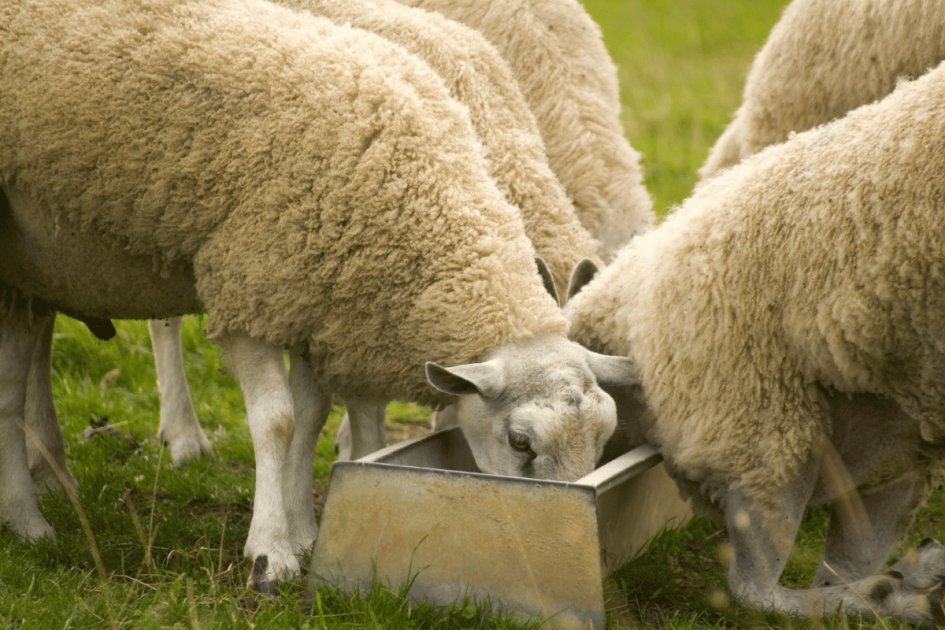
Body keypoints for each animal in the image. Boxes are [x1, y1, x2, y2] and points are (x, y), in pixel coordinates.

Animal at [565, 60, 945, 624]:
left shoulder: (758, 430)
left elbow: (761, 592)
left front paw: (897, 593)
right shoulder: (894, 449)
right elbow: (845, 564)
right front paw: (905, 588)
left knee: (756, 590)